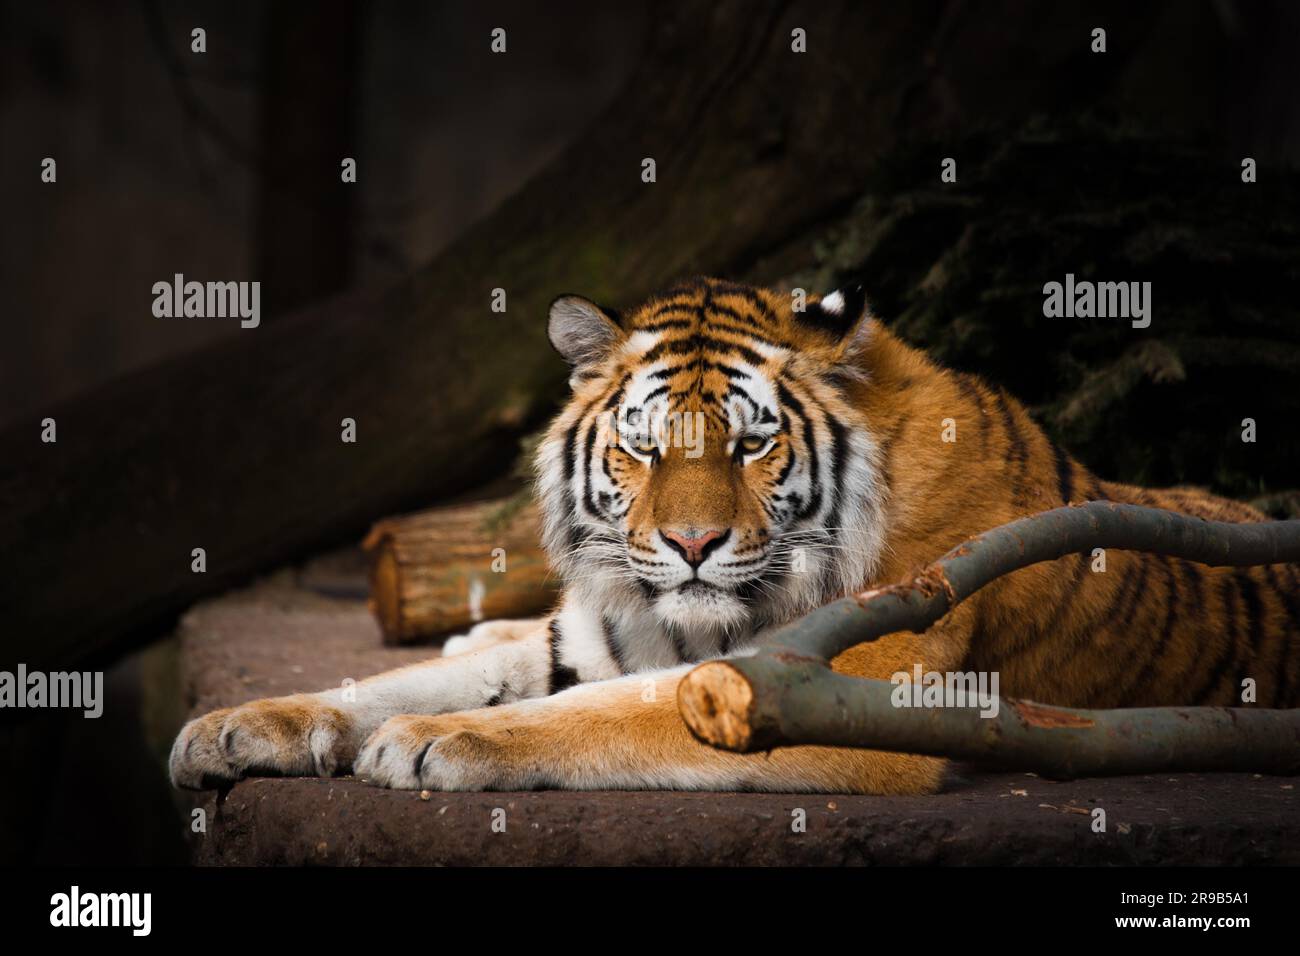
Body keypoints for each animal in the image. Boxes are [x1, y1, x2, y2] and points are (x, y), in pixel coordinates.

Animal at [170, 276, 1300, 794]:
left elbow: (602, 713)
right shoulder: (588, 636)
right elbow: (396, 680)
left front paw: (438, 741)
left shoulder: (852, 688)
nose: (692, 544)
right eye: (642, 447)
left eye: (754, 445)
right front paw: (236, 726)